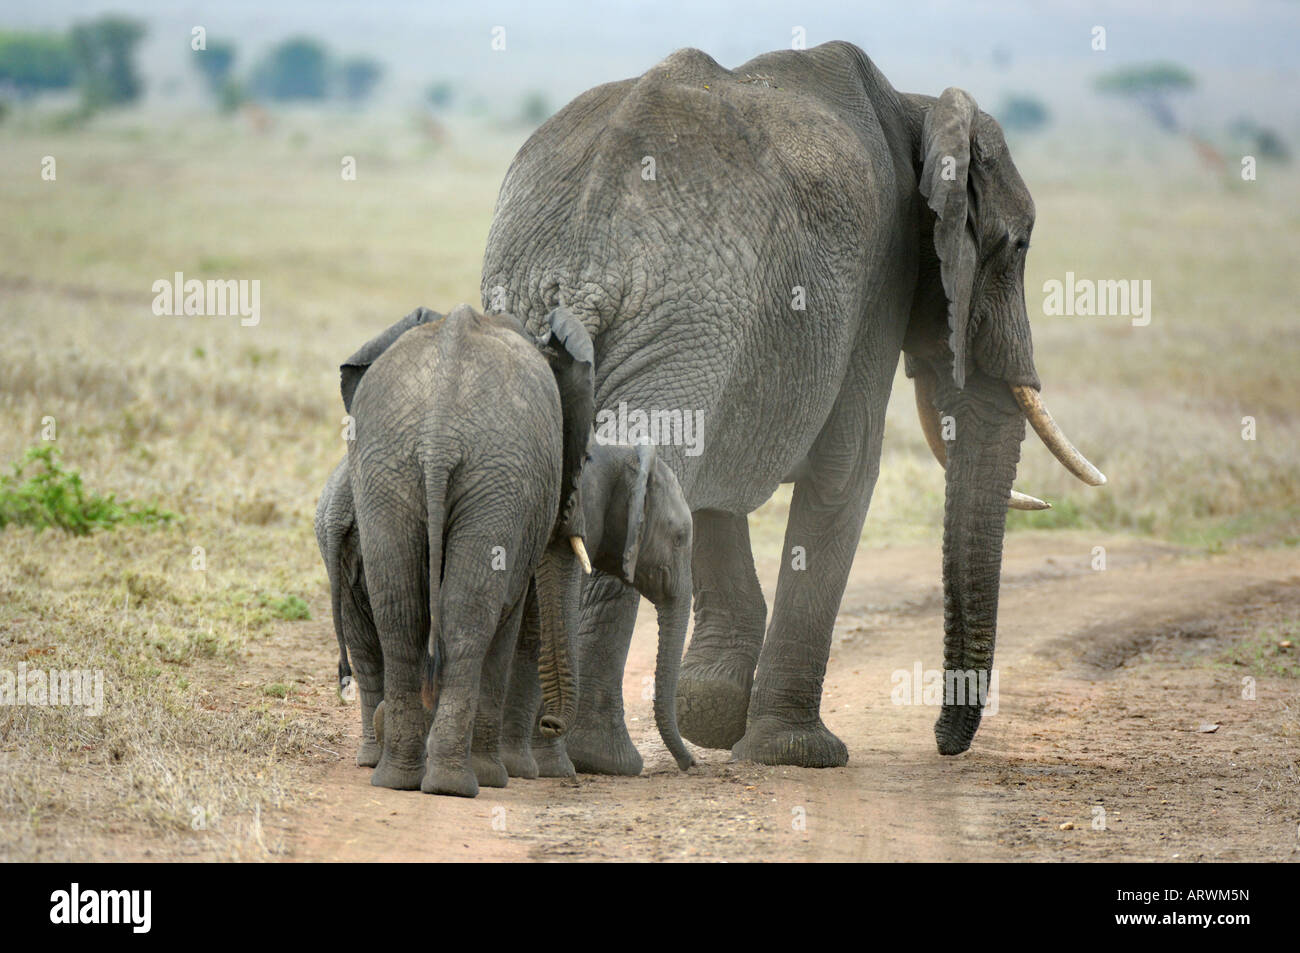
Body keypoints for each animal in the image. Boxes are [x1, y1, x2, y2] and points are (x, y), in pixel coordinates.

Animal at [341, 302, 595, 797]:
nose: (552, 724)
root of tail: (438, 436)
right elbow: (505, 617)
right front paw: (494, 777)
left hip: (392, 472)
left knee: (402, 611)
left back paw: (400, 779)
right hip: (493, 480)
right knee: (470, 616)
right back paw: (459, 784)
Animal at [480, 40, 1105, 770]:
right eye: (1019, 244)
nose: (942, 744)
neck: (916, 108)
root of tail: (582, 251)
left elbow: (716, 492)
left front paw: (714, 714)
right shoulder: (876, 282)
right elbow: (846, 473)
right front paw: (800, 752)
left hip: (553, 306)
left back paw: (535, 757)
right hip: (685, 314)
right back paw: (600, 758)